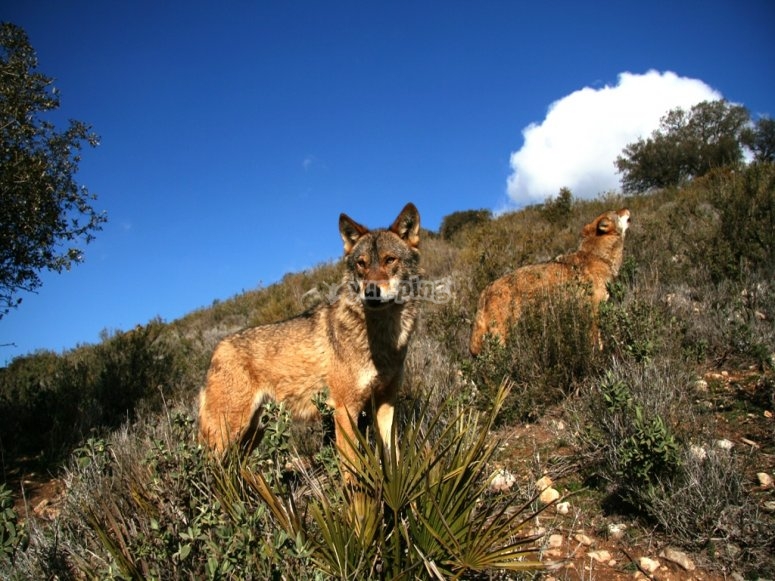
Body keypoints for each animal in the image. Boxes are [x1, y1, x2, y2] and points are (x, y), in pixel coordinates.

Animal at [198, 203, 421, 470]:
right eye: (361, 264)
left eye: (390, 260)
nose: (371, 292)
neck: (382, 338)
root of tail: (216, 350)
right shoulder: (345, 410)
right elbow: (351, 468)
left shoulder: (387, 403)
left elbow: (393, 457)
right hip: (227, 436)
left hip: (252, 434)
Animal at [469, 208, 631, 355]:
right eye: (617, 212)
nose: (627, 208)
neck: (598, 257)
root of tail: (485, 291)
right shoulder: (594, 312)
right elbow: (598, 342)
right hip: (501, 339)